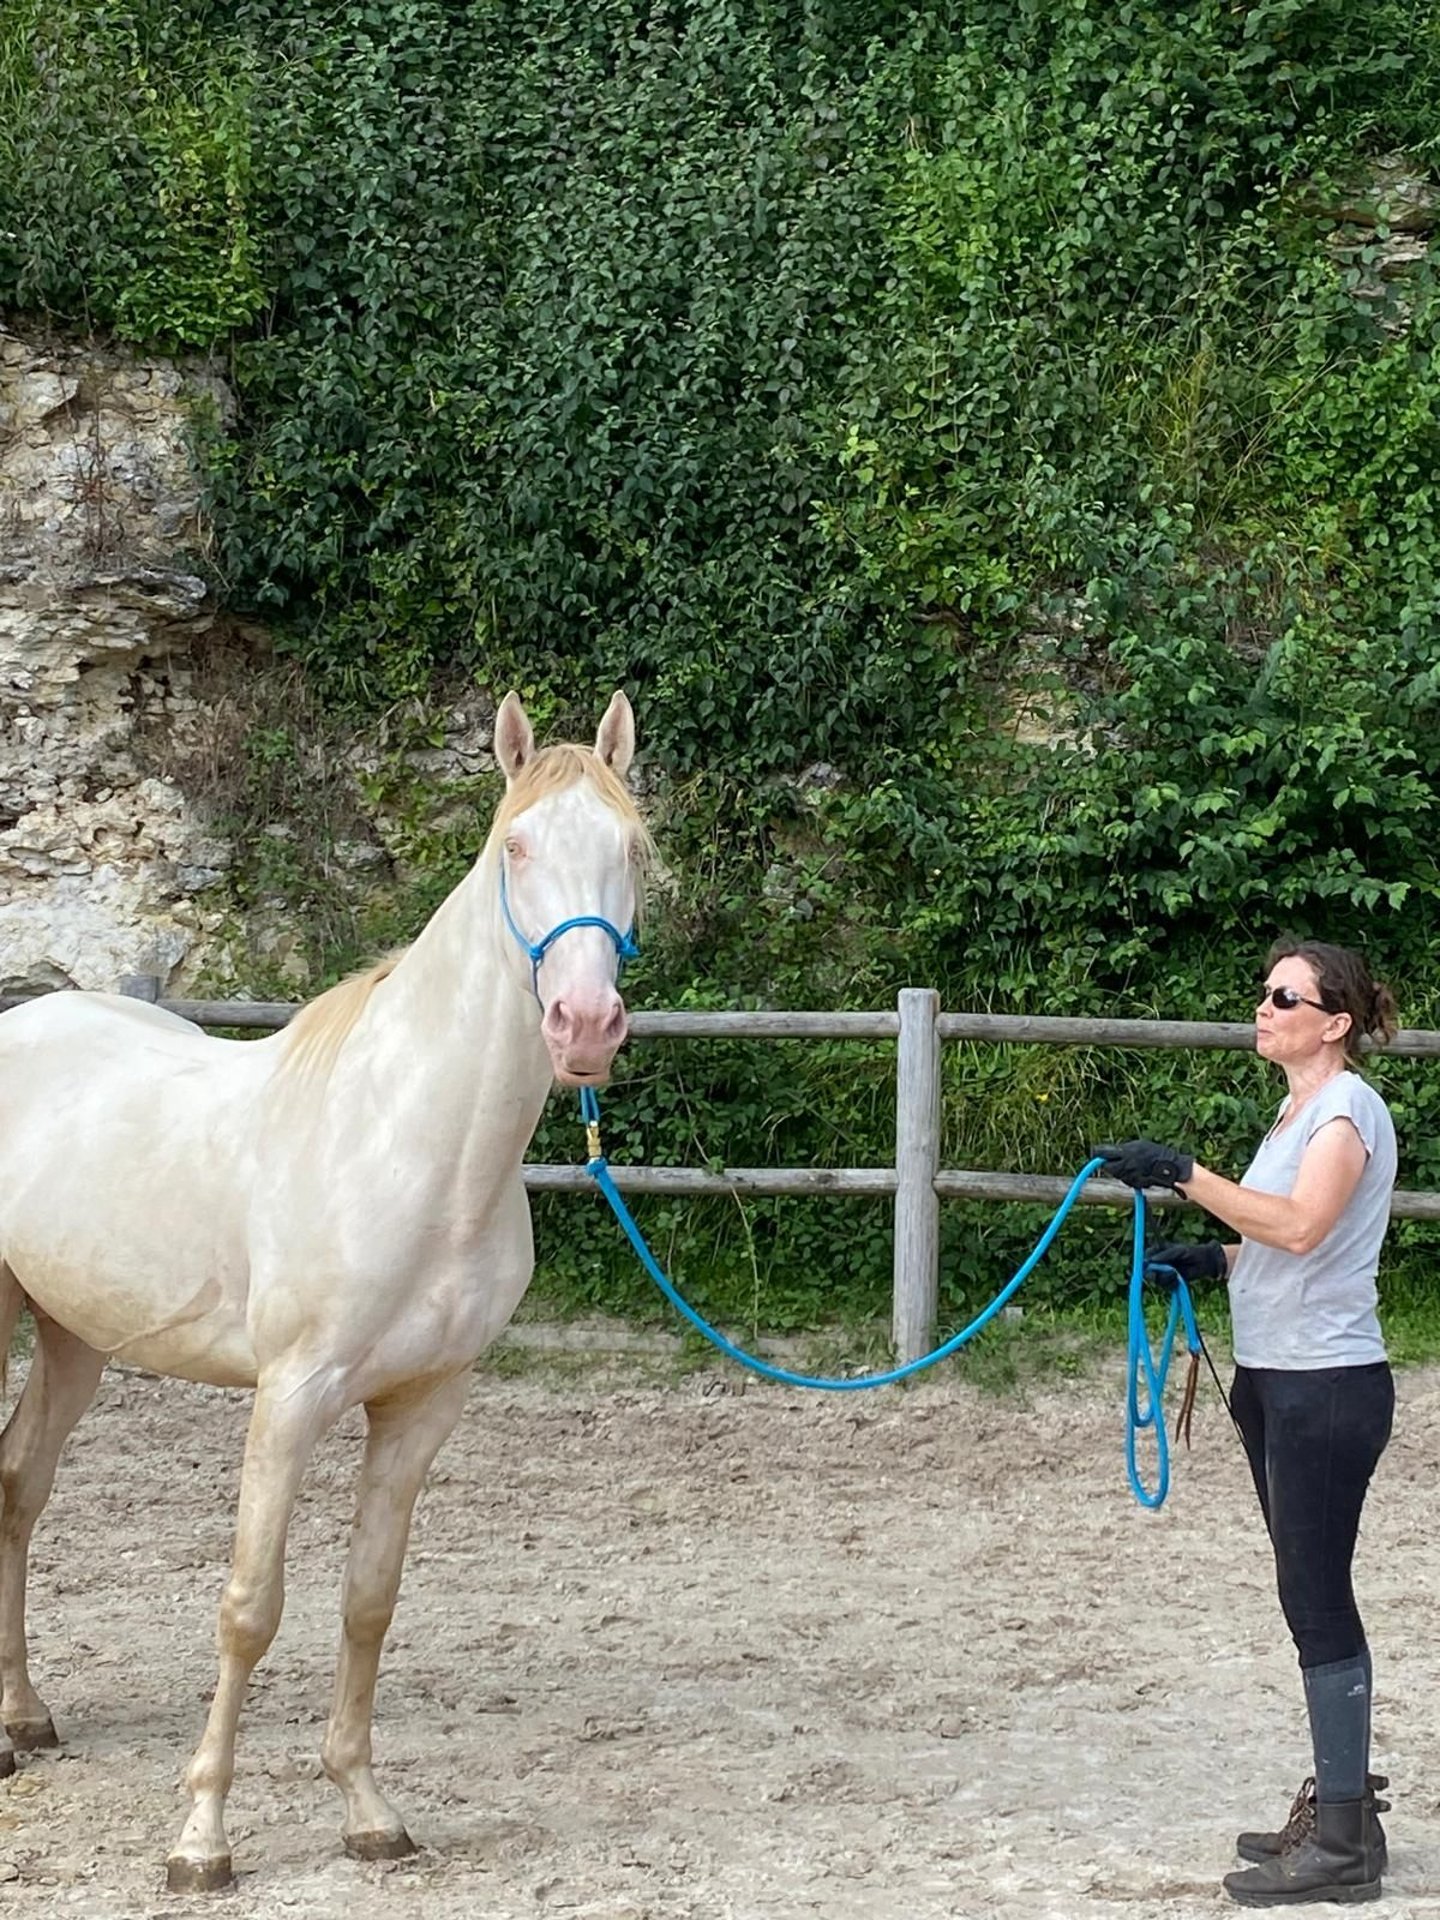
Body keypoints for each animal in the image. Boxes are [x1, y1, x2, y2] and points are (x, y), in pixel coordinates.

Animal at [0, 689, 648, 1890]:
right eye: (517, 847)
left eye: (629, 849)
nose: (585, 1026)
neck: (412, 1145)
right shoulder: (291, 1399)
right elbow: (250, 1607)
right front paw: (201, 1838)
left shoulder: (423, 1406)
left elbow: (367, 1601)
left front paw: (367, 1812)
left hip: (75, 1338)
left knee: (20, 1486)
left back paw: (24, 1717)